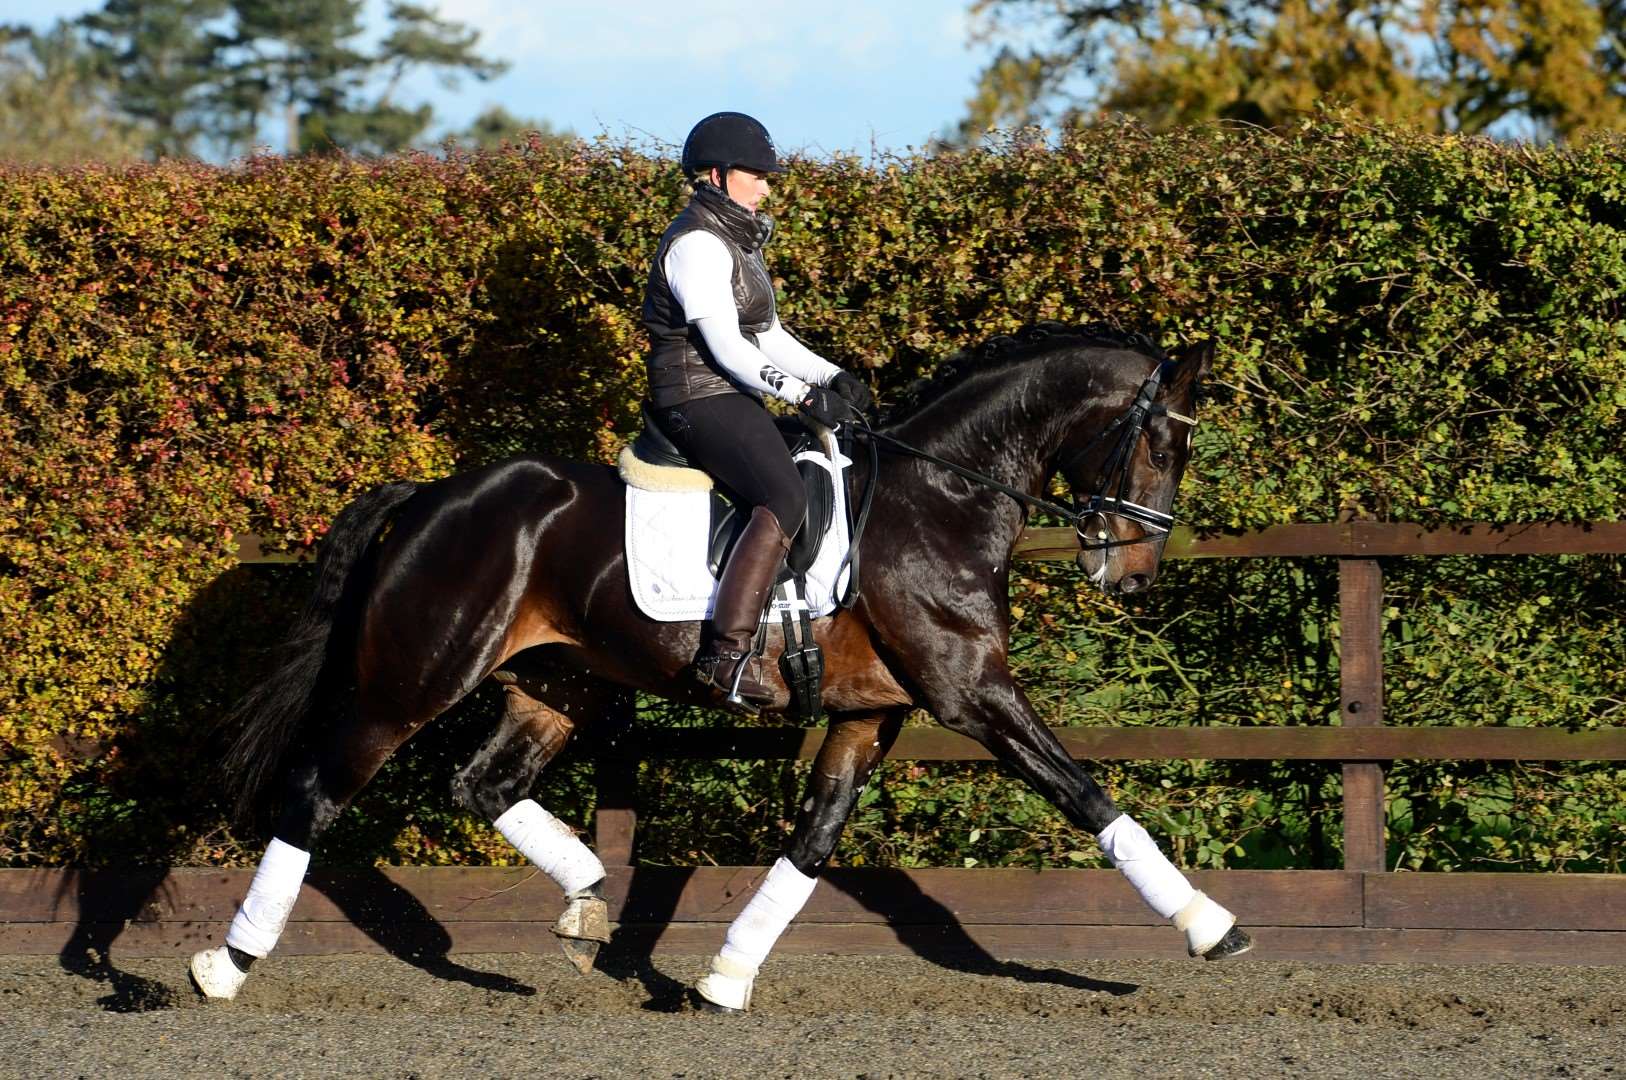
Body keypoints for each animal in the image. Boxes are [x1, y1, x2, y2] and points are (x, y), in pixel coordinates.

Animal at [188, 323, 1251, 1012]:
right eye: (1163, 444)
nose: (1135, 575)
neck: (940, 500)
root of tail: (434, 496)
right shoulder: (971, 693)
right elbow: (1085, 793)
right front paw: (1212, 926)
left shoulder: (874, 713)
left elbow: (814, 841)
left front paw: (726, 977)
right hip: (408, 683)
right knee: (314, 798)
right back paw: (225, 965)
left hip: (556, 687)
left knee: (482, 785)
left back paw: (586, 908)